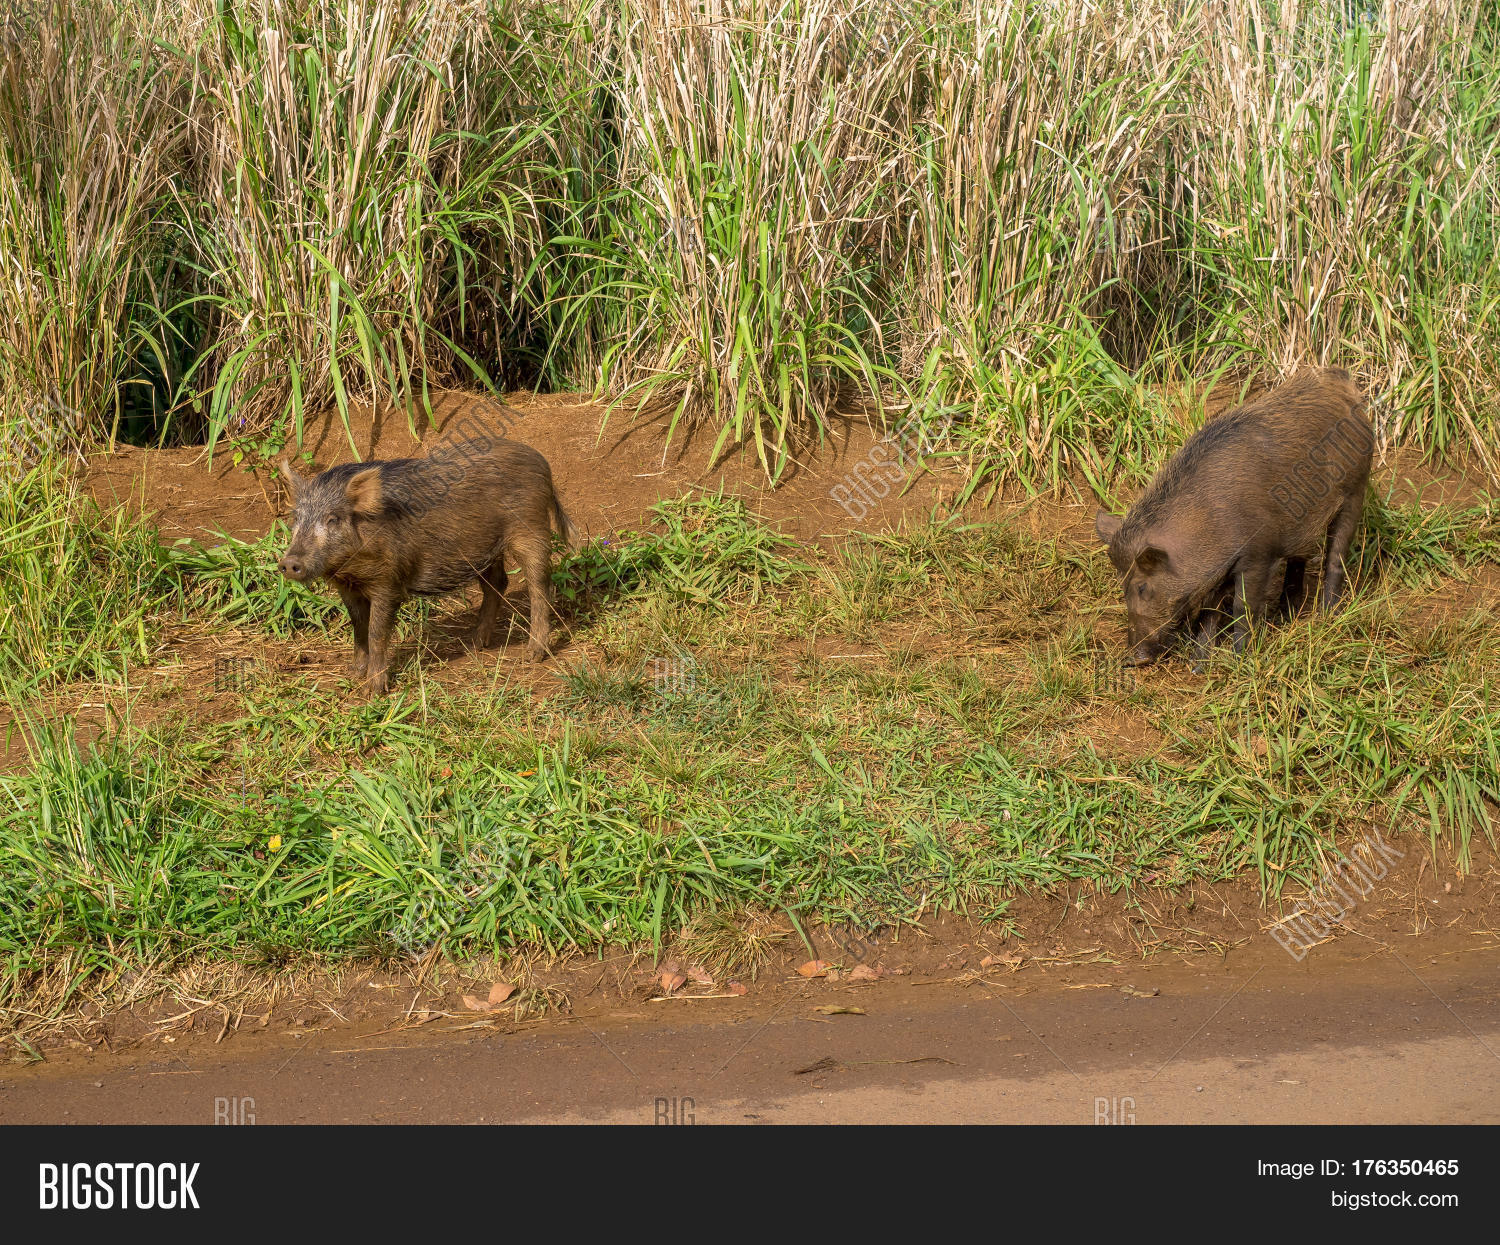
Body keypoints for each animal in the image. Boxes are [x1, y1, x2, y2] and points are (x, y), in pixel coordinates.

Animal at [276, 436, 575, 694]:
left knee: (539, 585)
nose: (289, 563)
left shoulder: (388, 583)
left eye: (333, 519)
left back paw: (532, 655)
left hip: (531, 531)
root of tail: (540, 460)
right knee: (498, 583)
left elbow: (376, 632)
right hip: (484, 550)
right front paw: (353, 673)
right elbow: (358, 628)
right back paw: (474, 644)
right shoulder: (347, 588)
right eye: (296, 518)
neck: (350, 569)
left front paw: (374, 690)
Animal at [1093, 367, 1373, 670]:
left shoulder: (1258, 554)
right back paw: (1286, 617)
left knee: (1335, 557)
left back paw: (1327, 615)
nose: (1134, 658)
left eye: (1143, 587)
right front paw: (1198, 665)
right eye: (1121, 585)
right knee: (1298, 561)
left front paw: (1240, 659)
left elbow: (1242, 607)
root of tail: (1343, 382)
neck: (1206, 521)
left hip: (1357, 488)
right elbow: (1209, 610)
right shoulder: (1219, 567)